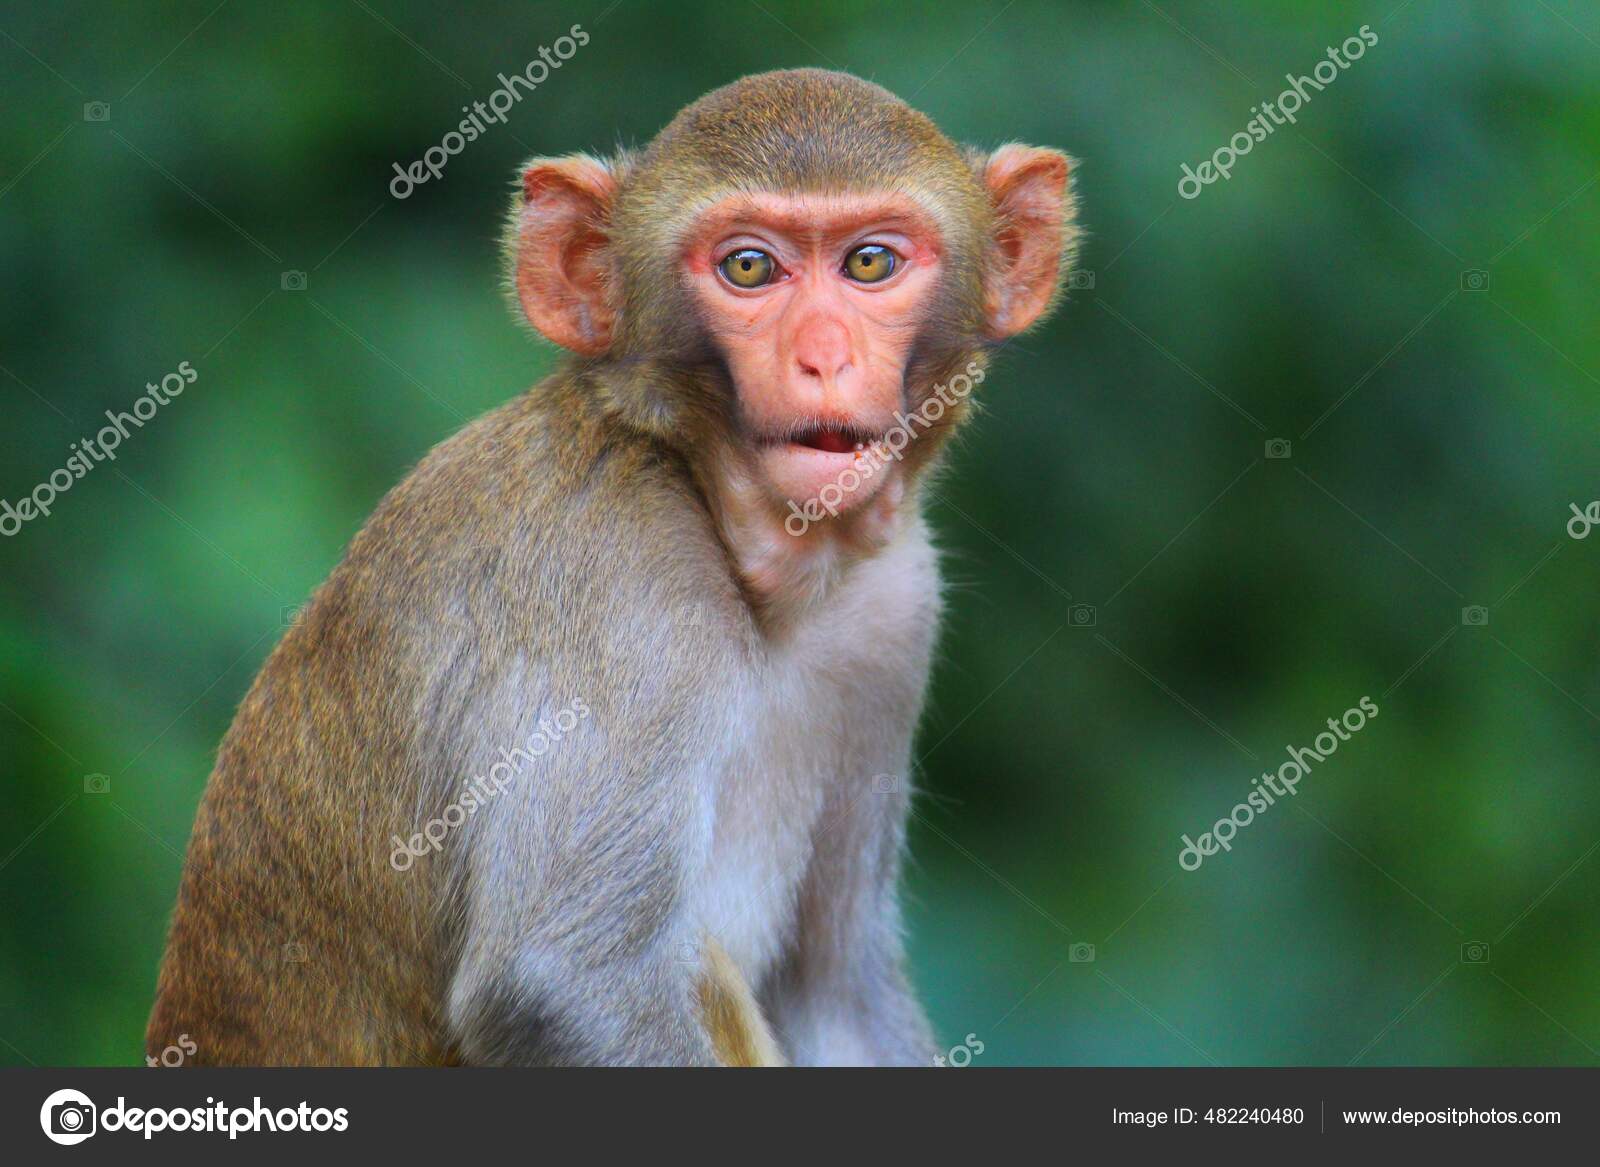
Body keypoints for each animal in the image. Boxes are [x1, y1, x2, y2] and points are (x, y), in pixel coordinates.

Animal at [145, 68, 1075, 1066]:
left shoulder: (895, 611)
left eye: (870, 263)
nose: (823, 358)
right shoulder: (623, 580)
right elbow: (560, 981)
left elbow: (836, 995)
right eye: (749, 268)